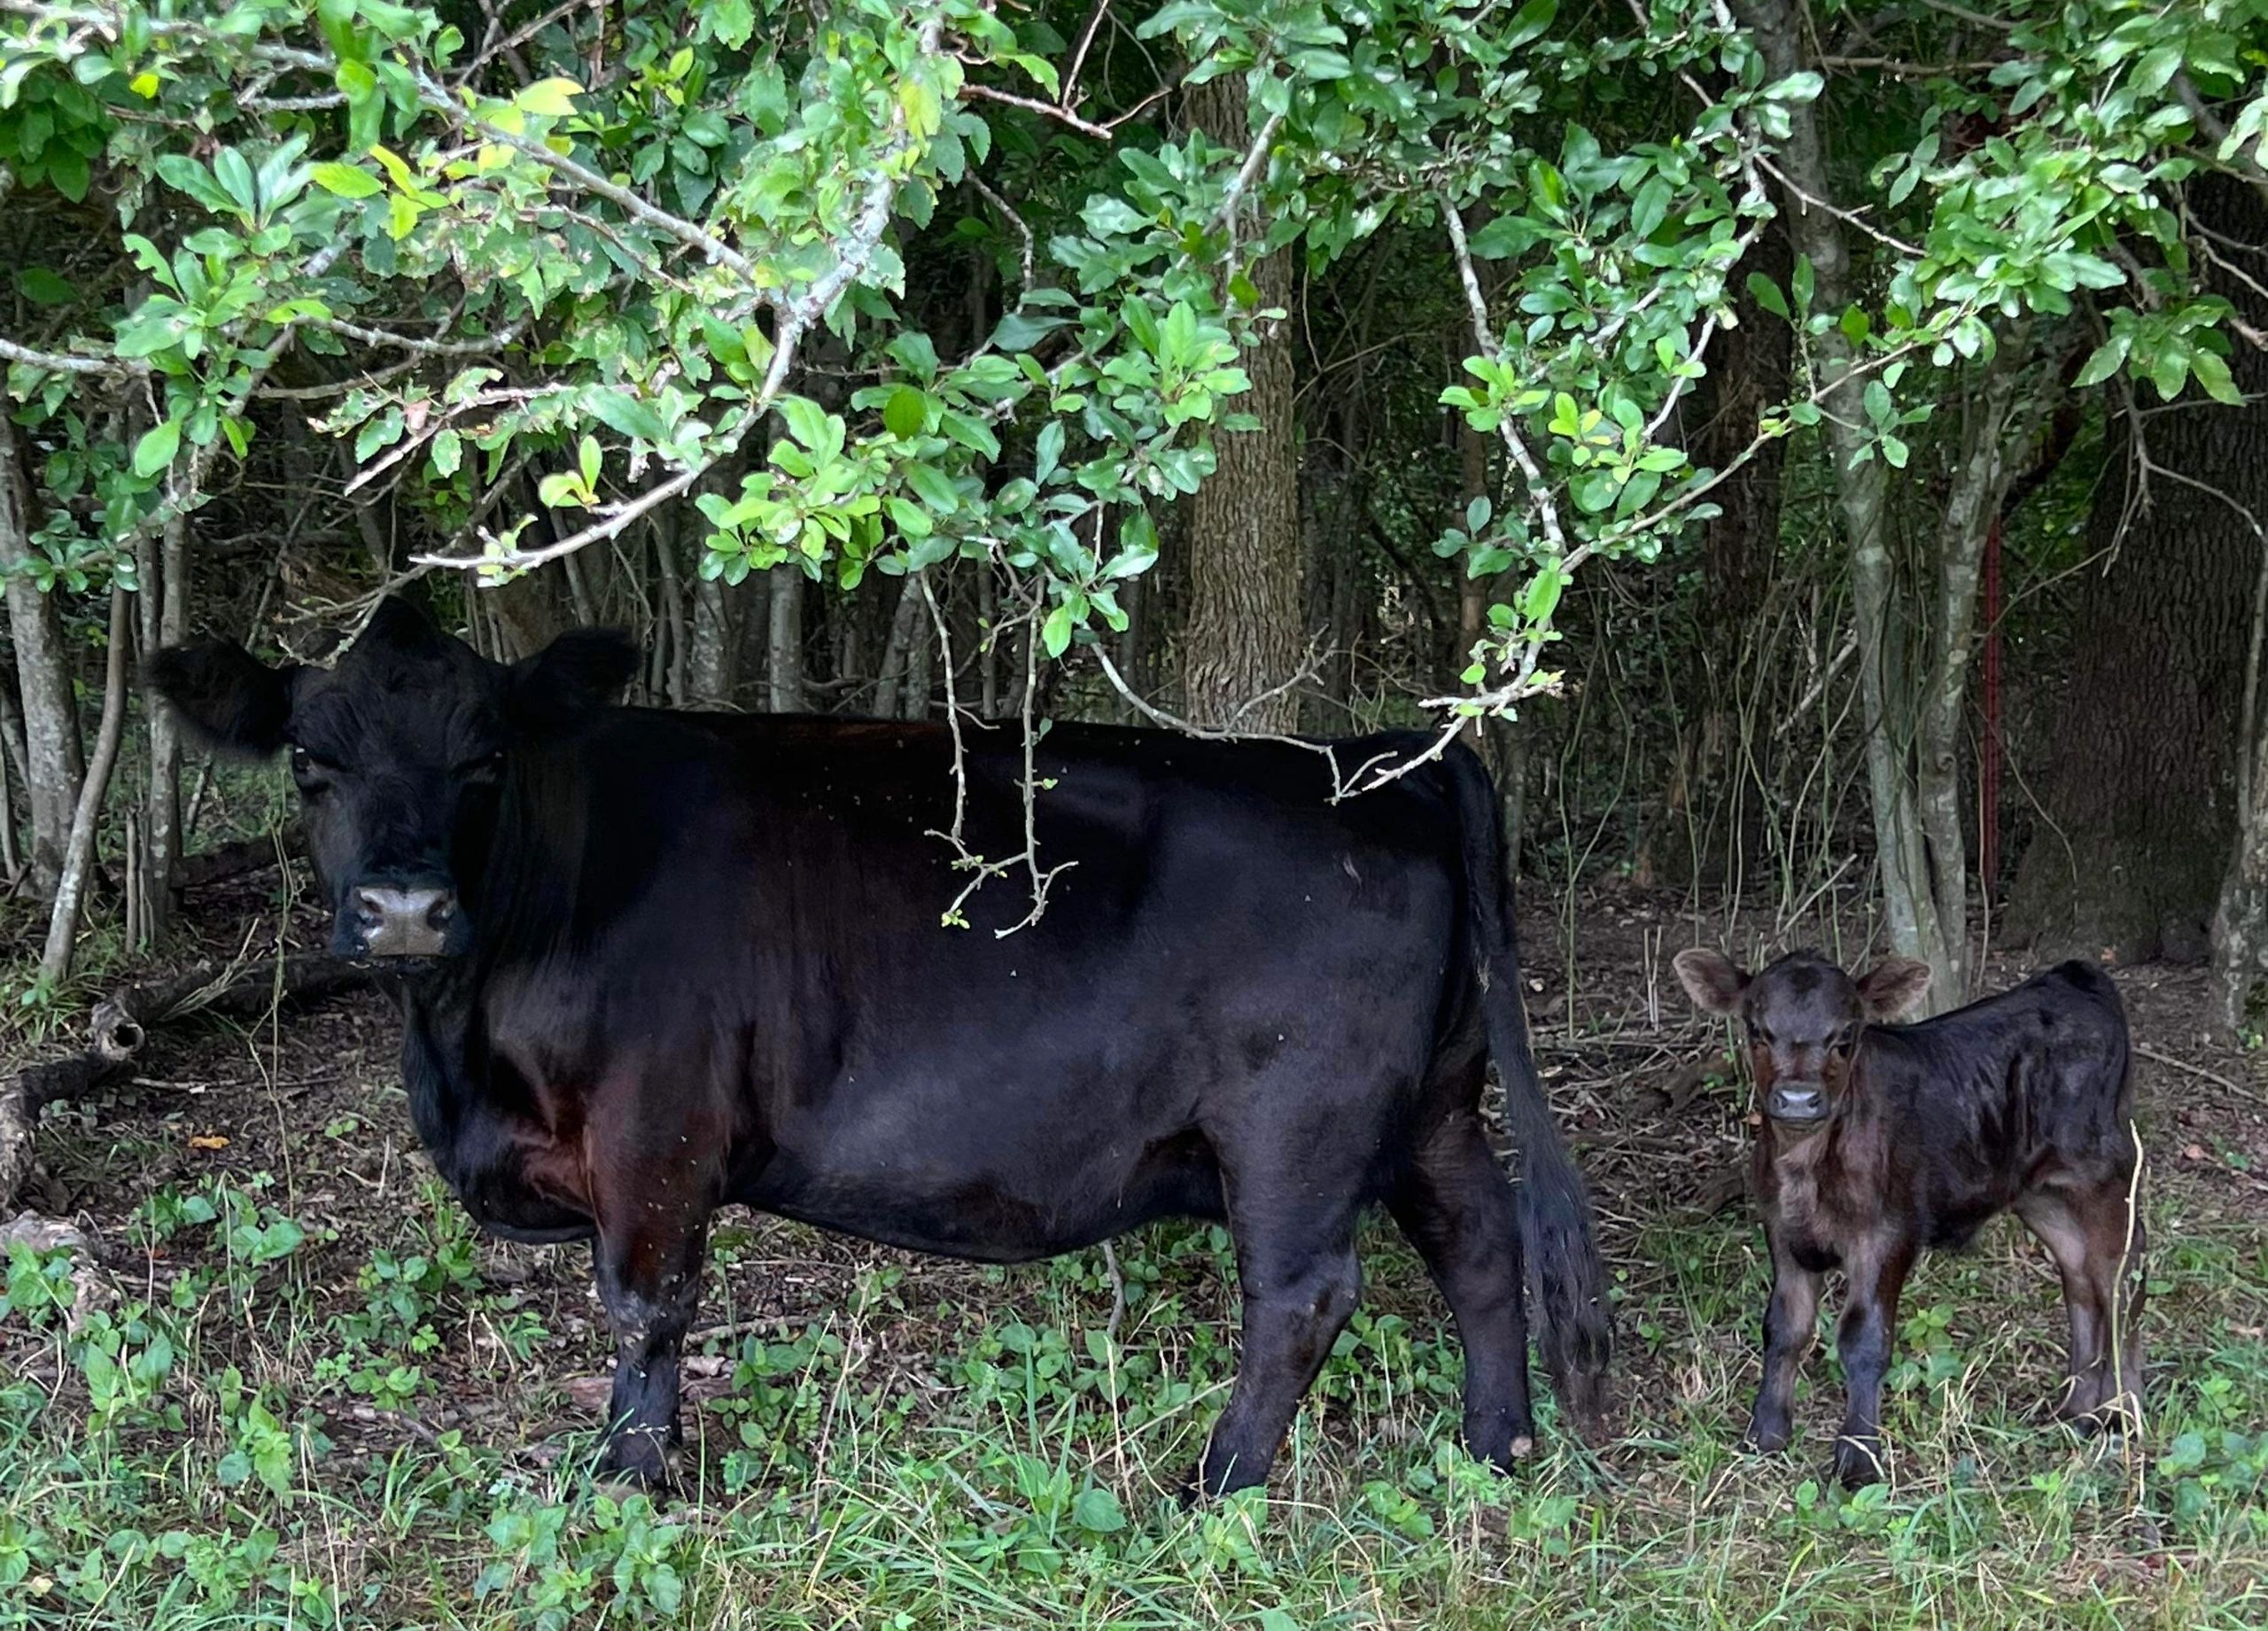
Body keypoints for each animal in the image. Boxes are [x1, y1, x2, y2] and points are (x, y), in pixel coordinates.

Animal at [148, 596, 1611, 1495]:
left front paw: (629, 1479)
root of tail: (1374, 758)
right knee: (1481, 1243)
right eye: (308, 762)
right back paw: (1497, 1448)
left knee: (1302, 1298)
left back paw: (1215, 1491)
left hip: (1297, 1124)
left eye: (486, 757)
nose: (402, 907)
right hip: (1433, 1103)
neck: (467, 1042)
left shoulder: (655, 1131)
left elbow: (646, 1308)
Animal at [1671, 947, 2144, 1488]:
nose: (1797, 1099)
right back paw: (2077, 1413)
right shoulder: (1783, 1234)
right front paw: (1764, 1436)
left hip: (2105, 1175)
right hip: (2041, 1194)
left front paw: (1858, 1459)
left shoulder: (1887, 1235)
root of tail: (2072, 975)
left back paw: (2123, 1416)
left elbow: (1863, 1339)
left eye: (1846, 1035)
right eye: (1756, 1030)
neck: (1806, 1171)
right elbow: (1784, 1330)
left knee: (2122, 1281)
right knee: (2080, 1280)